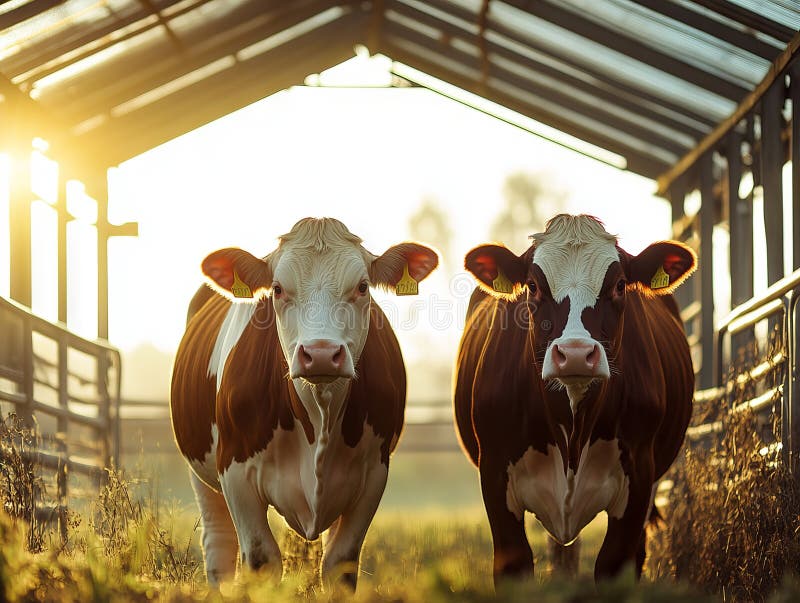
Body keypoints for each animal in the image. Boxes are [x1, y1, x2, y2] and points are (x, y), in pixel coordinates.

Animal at [170, 217, 438, 587]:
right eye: (278, 289)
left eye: (363, 287)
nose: (321, 354)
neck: (318, 416)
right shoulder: (234, 473)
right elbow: (261, 560)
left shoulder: (373, 475)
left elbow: (339, 563)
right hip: (201, 471)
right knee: (219, 545)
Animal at [454, 214, 695, 584]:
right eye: (533, 286)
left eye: (620, 285)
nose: (577, 354)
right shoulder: (494, 473)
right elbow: (514, 565)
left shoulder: (639, 476)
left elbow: (616, 564)